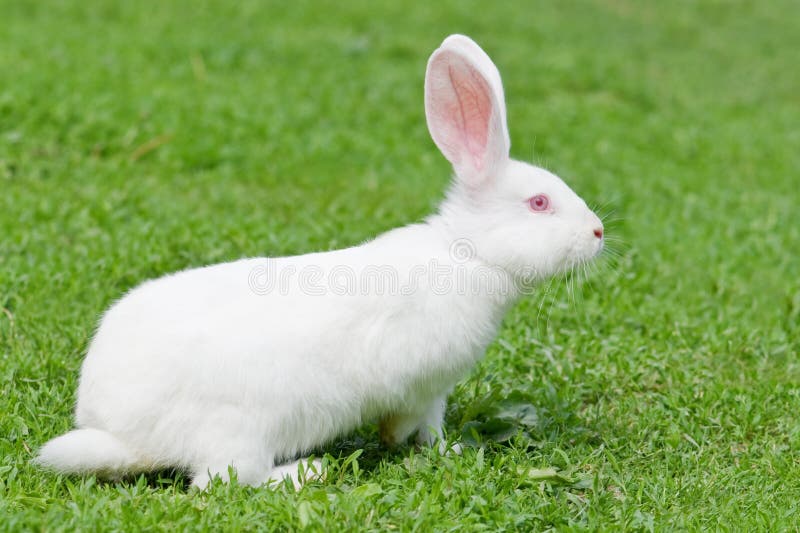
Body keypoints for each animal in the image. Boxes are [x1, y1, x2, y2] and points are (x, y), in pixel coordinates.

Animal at [36, 34, 604, 489]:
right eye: (539, 203)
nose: (599, 232)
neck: (469, 253)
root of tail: (119, 432)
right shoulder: (425, 389)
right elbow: (423, 427)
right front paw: (447, 449)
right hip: (243, 428)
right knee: (224, 481)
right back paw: (307, 471)